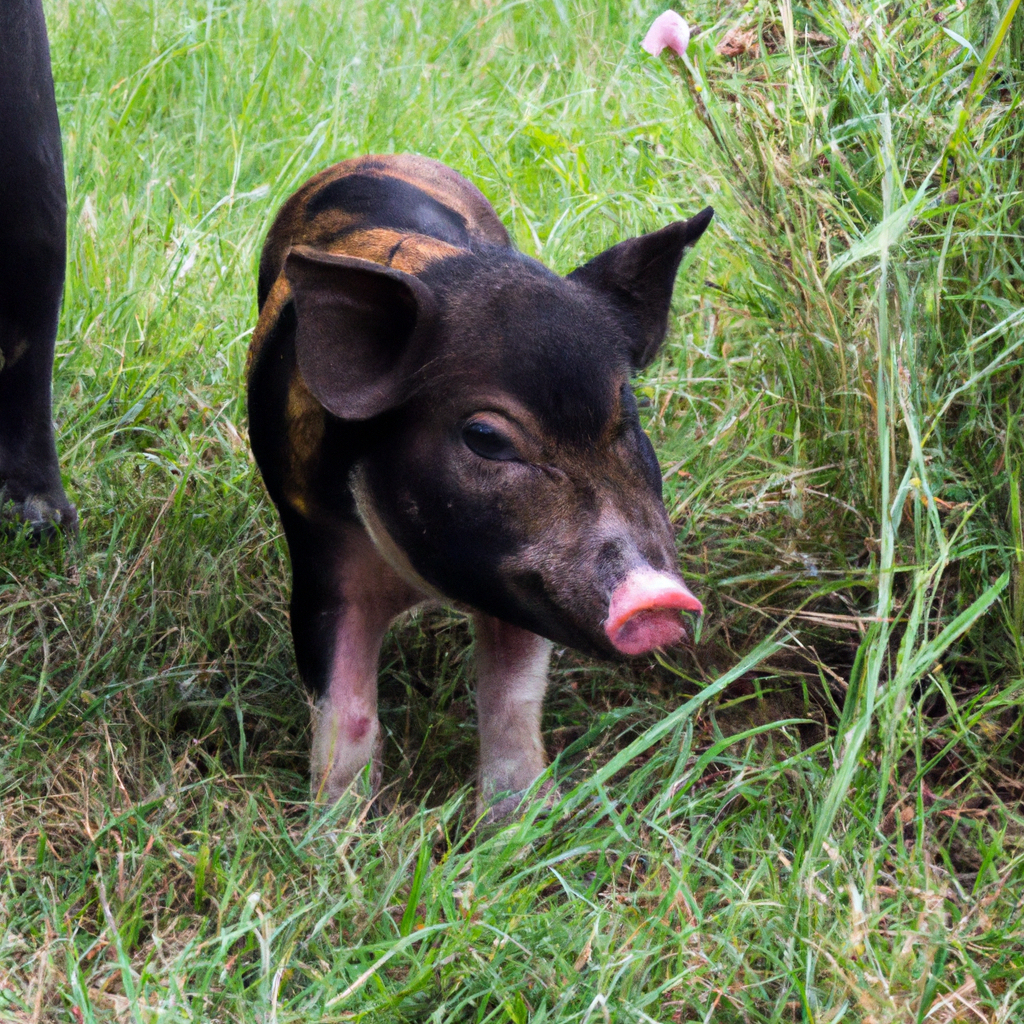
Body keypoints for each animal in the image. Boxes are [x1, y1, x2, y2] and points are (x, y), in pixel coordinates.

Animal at [248, 155, 712, 818]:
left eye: (629, 412)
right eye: (486, 438)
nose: (656, 596)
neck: (425, 585)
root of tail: (385, 155)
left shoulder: (524, 586)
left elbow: (511, 701)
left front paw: (517, 822)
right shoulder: (321, 559)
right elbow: (346, 710)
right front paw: (335, 828)